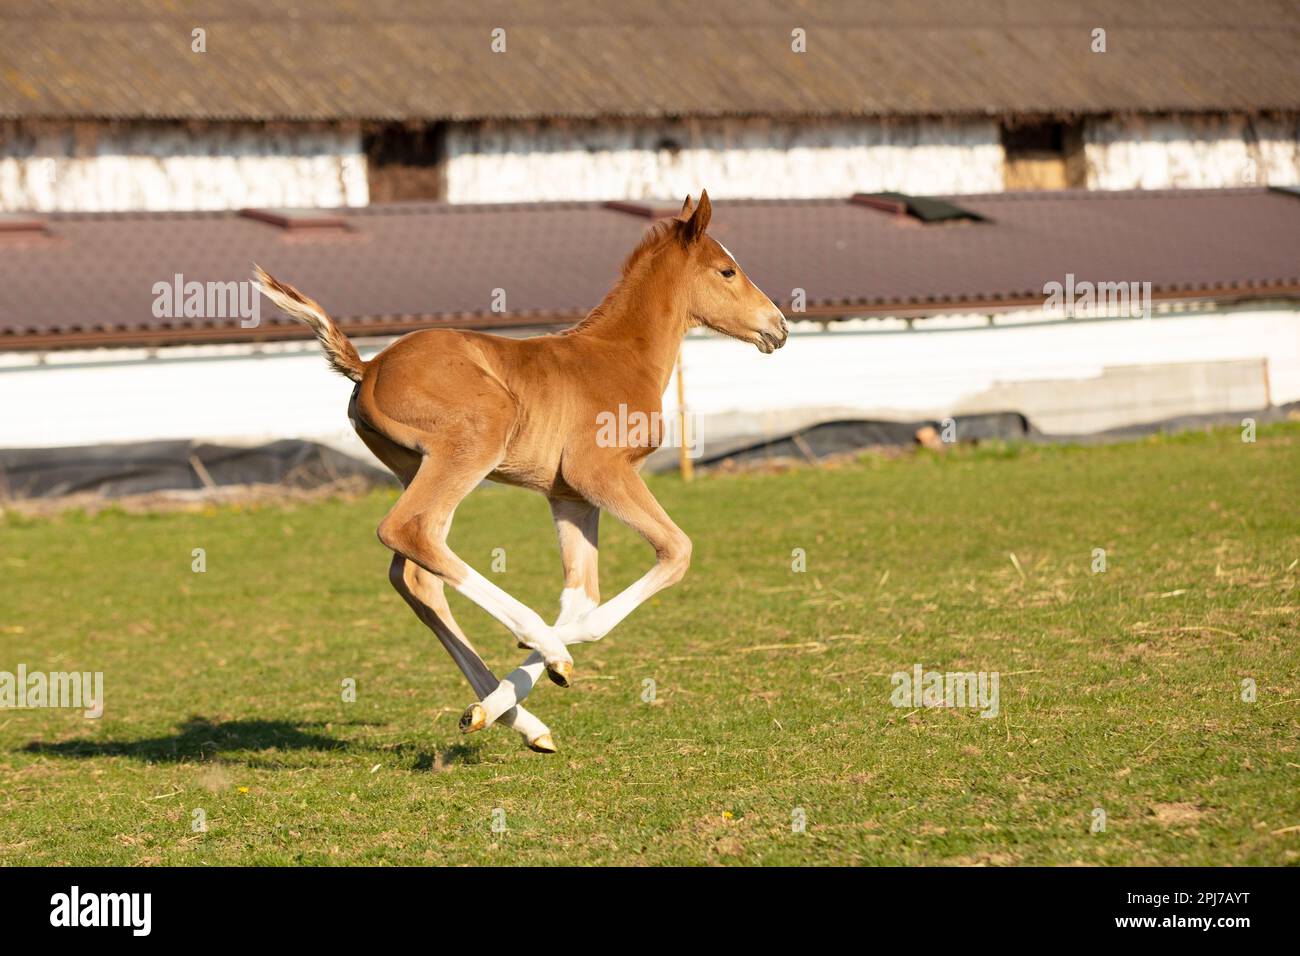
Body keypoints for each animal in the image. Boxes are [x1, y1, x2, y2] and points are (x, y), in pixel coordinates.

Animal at [253, 191, 787, 752]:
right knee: (408, 531)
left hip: (420, 466)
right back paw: (536, 652)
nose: (779, 326)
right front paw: (555, 658)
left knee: (416, 574)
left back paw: (515, 718)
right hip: (474, 444)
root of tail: (369, 367)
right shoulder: (601, 473)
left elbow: (579, 599)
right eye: (727, 271)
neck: (620, 356)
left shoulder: (571, 496)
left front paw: (513, 693)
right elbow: (671, 555)